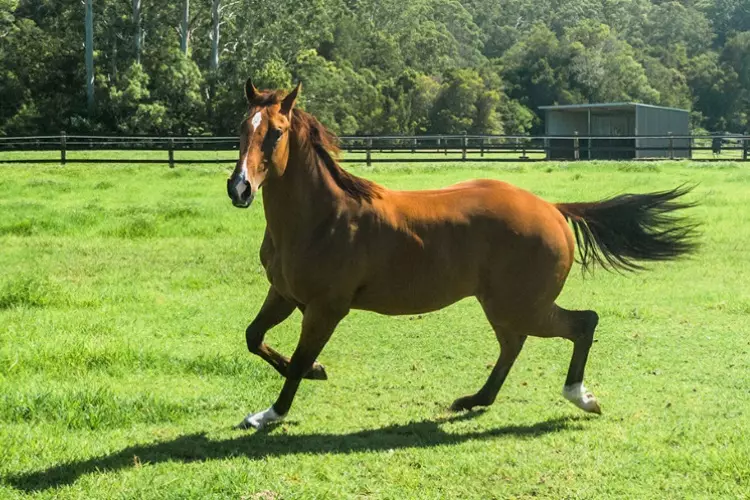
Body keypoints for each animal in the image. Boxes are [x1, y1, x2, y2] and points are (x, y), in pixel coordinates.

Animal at [225, 81, 700, 430]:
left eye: (276, 132)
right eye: (242, 129)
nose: (239, 189)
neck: (322, 218)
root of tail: (553, 209)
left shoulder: (326, 308)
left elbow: (296, 360)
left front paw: (270, 414)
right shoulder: (284, 295)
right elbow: (253, 336)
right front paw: (317, 371)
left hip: (521, 305)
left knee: (582, 323)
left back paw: (581, 397)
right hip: (505, 305)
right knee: (514, 344)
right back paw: (474, 399)